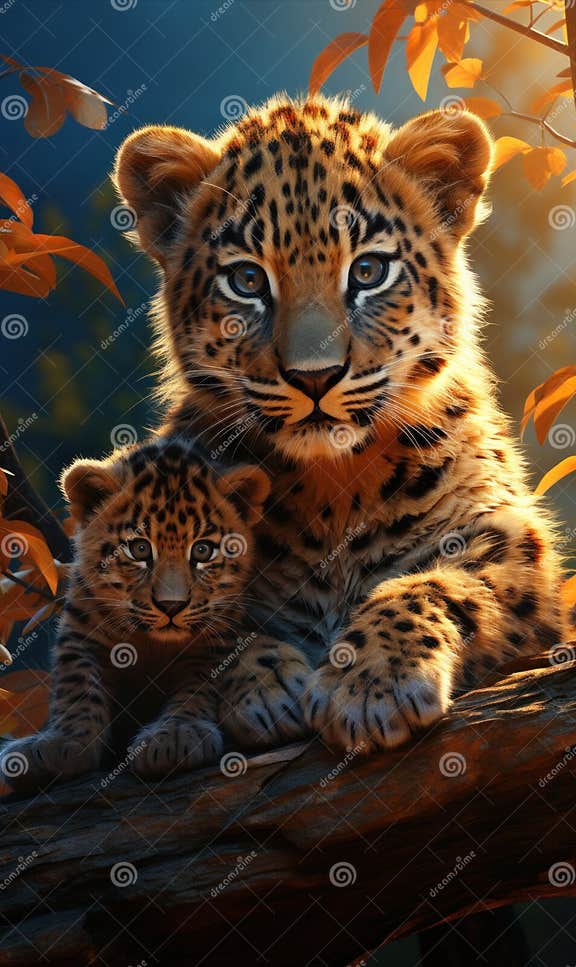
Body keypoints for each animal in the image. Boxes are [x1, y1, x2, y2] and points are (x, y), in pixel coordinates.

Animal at [2, 436, 269, 787]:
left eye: (202, 550)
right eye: (140, 548)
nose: (171, 606)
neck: (151, 643)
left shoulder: (217, 640)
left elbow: (197, 684)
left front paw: (175, 737)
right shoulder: (81, 630)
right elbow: (77, 684)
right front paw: (60, 744)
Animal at [112, 93, 566, 755]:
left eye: (369, 272)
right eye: (247, 280)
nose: (315, 376)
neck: (335, 486)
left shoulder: (507, 538)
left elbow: (432, 585)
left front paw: (373, 686)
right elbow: (212, 624)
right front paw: (265, 685)